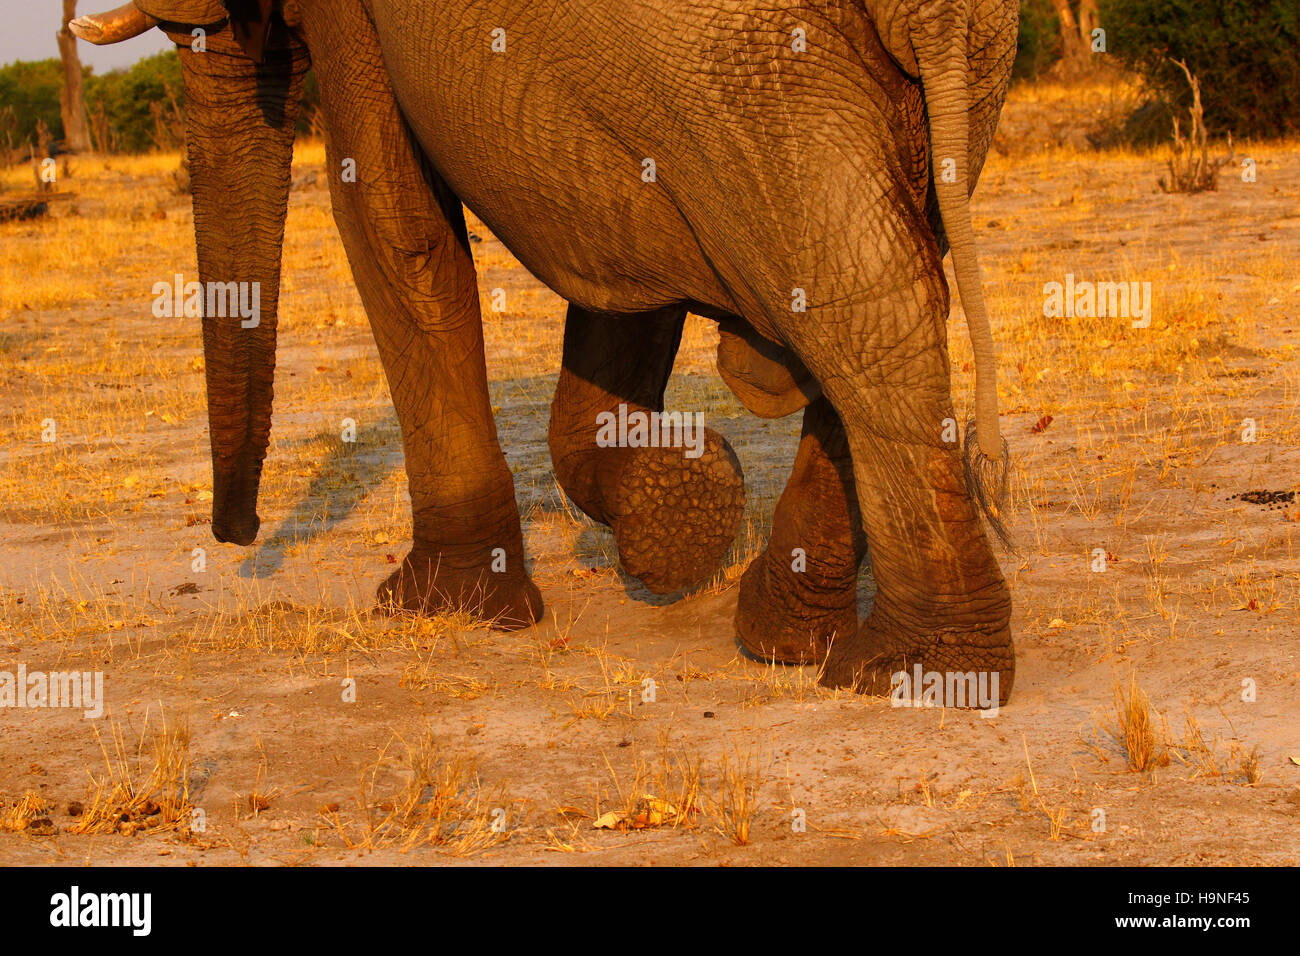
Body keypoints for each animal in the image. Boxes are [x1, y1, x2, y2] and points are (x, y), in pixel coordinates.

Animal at [72, 0, 1018, 704]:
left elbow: (389, 221)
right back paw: (799, 641)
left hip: (746, 68)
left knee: (858, 310)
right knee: (880, 291)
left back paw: (912, 675)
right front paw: (678, 507)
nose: (238, 535)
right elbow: (621, 254)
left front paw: (435, 610)